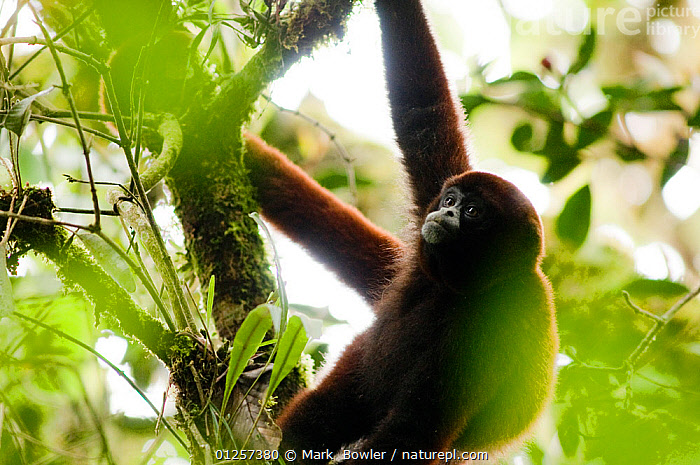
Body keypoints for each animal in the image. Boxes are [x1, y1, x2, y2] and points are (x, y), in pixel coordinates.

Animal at [243, 0, 558, 462]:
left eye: (473, 212)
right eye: (451, 199)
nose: (445, 214)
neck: (462, 286)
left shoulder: (495, 325)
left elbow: (414, 430)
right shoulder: (437, 186)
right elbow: (422, 111)